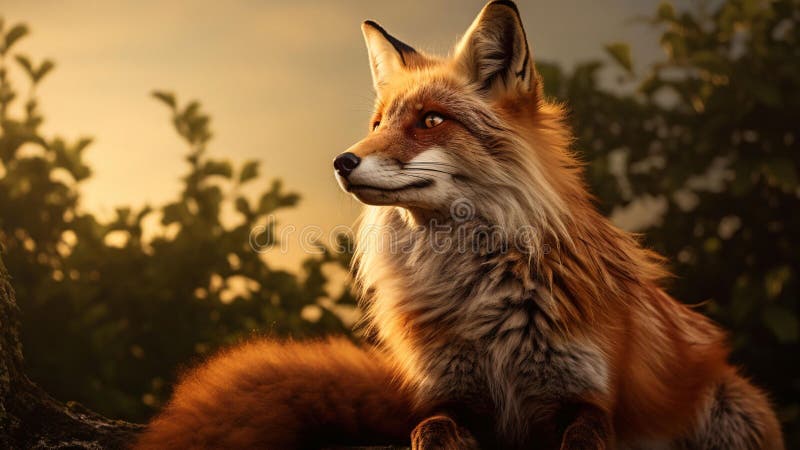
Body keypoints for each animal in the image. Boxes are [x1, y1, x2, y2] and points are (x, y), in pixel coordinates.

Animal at [135, 2, 785, 449]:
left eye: (430, 120)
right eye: (378, 122)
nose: (342, 161)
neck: (482, 300)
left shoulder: (589, 397)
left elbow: (586, 434)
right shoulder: (447, 396)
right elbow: (432, 433)